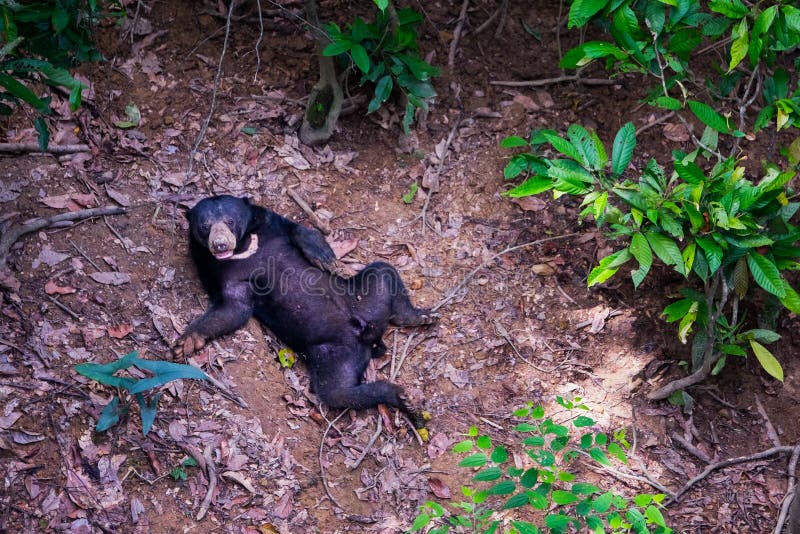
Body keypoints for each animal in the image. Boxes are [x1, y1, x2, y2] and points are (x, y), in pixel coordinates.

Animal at [174, 195, 437, 426]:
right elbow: (232, 308)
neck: (243, 248)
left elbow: (299, 229)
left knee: (383, 270)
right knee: (337, 391)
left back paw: (422, 317)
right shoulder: (217, 273)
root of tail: (366, 335)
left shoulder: (270, 224)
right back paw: (403, 398)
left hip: (363, 298)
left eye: (230, 221)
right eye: (205, 226)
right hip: (333, 353)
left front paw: (327, 259)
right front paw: (184, 343)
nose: (220, 245)